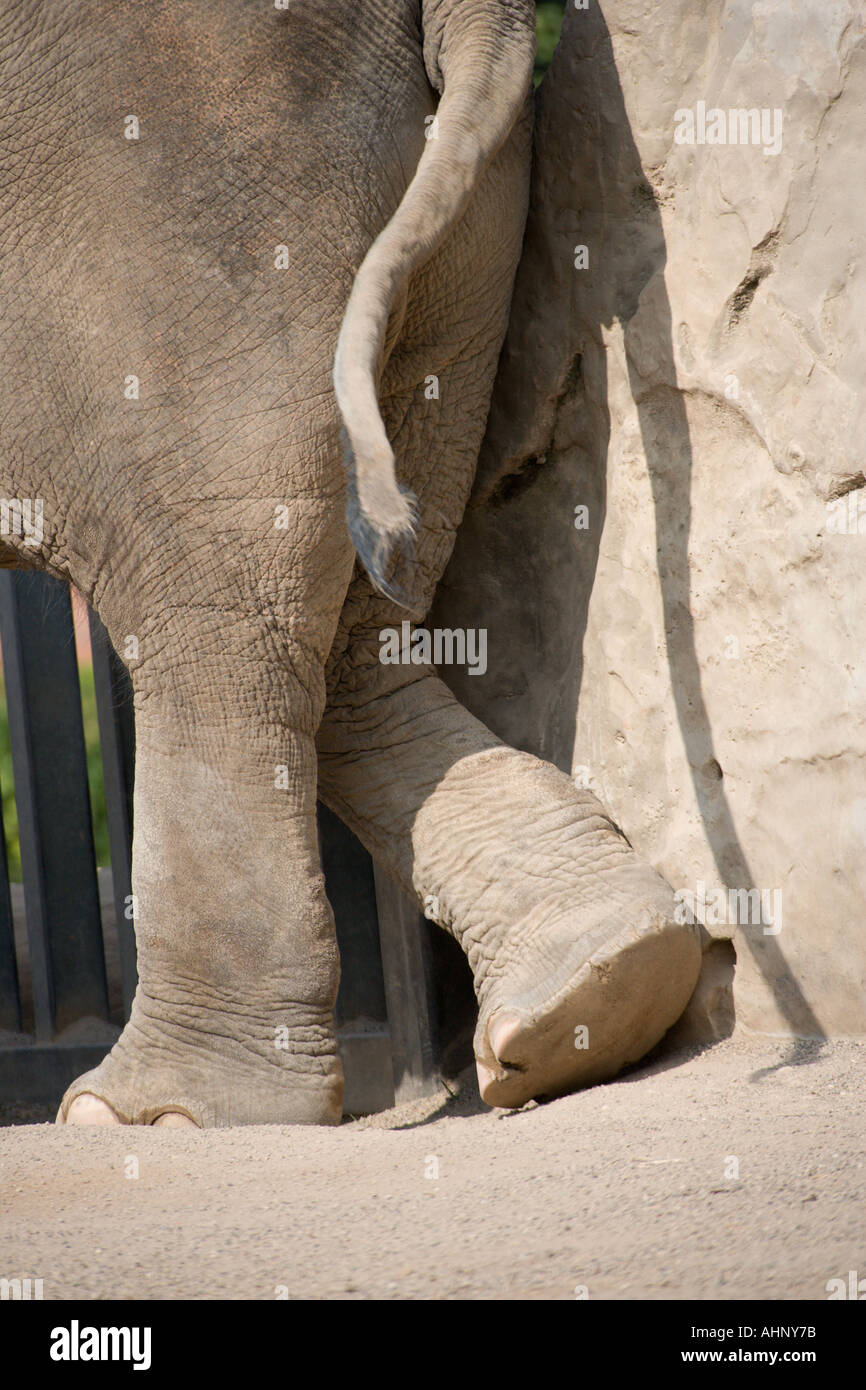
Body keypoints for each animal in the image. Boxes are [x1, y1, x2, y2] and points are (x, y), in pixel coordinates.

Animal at [0, 0, 701, 1128]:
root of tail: (481, 11)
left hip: (191, 190)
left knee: (223, 612)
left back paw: (161, 1114)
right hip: (464, 237)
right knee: (359, 621)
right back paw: (598, 990)